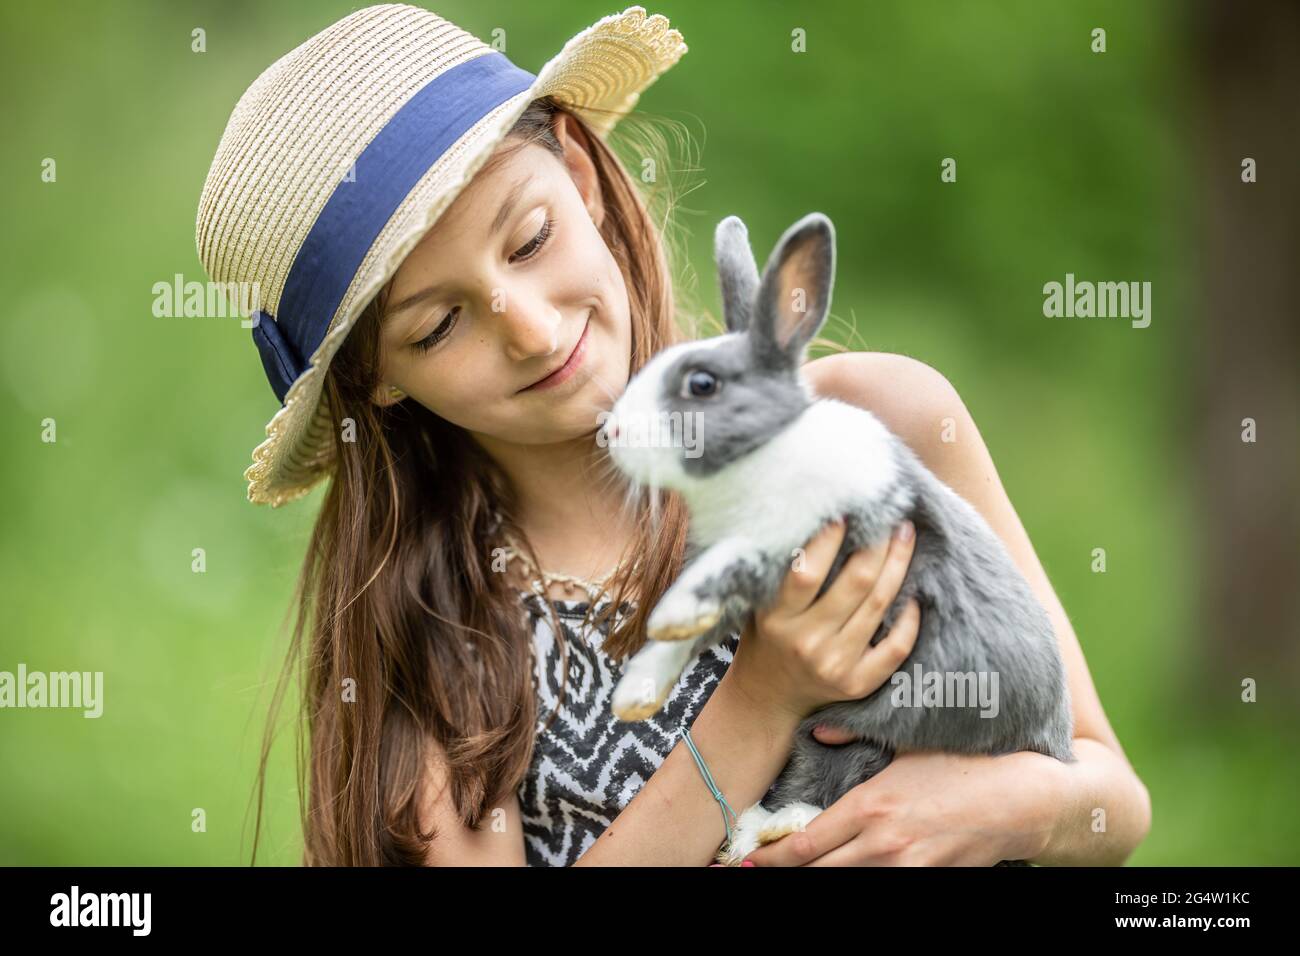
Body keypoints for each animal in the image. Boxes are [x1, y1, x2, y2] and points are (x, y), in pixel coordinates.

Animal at [598, 211, 1076, 866]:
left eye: (701, 384)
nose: (613, 432)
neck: (761, 456)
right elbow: (687, 638)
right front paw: (636, 691)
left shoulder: (814, 532)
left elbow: (731, 564)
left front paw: (668, 616)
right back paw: (748, 834)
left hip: (878, 740)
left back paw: (775, 829)